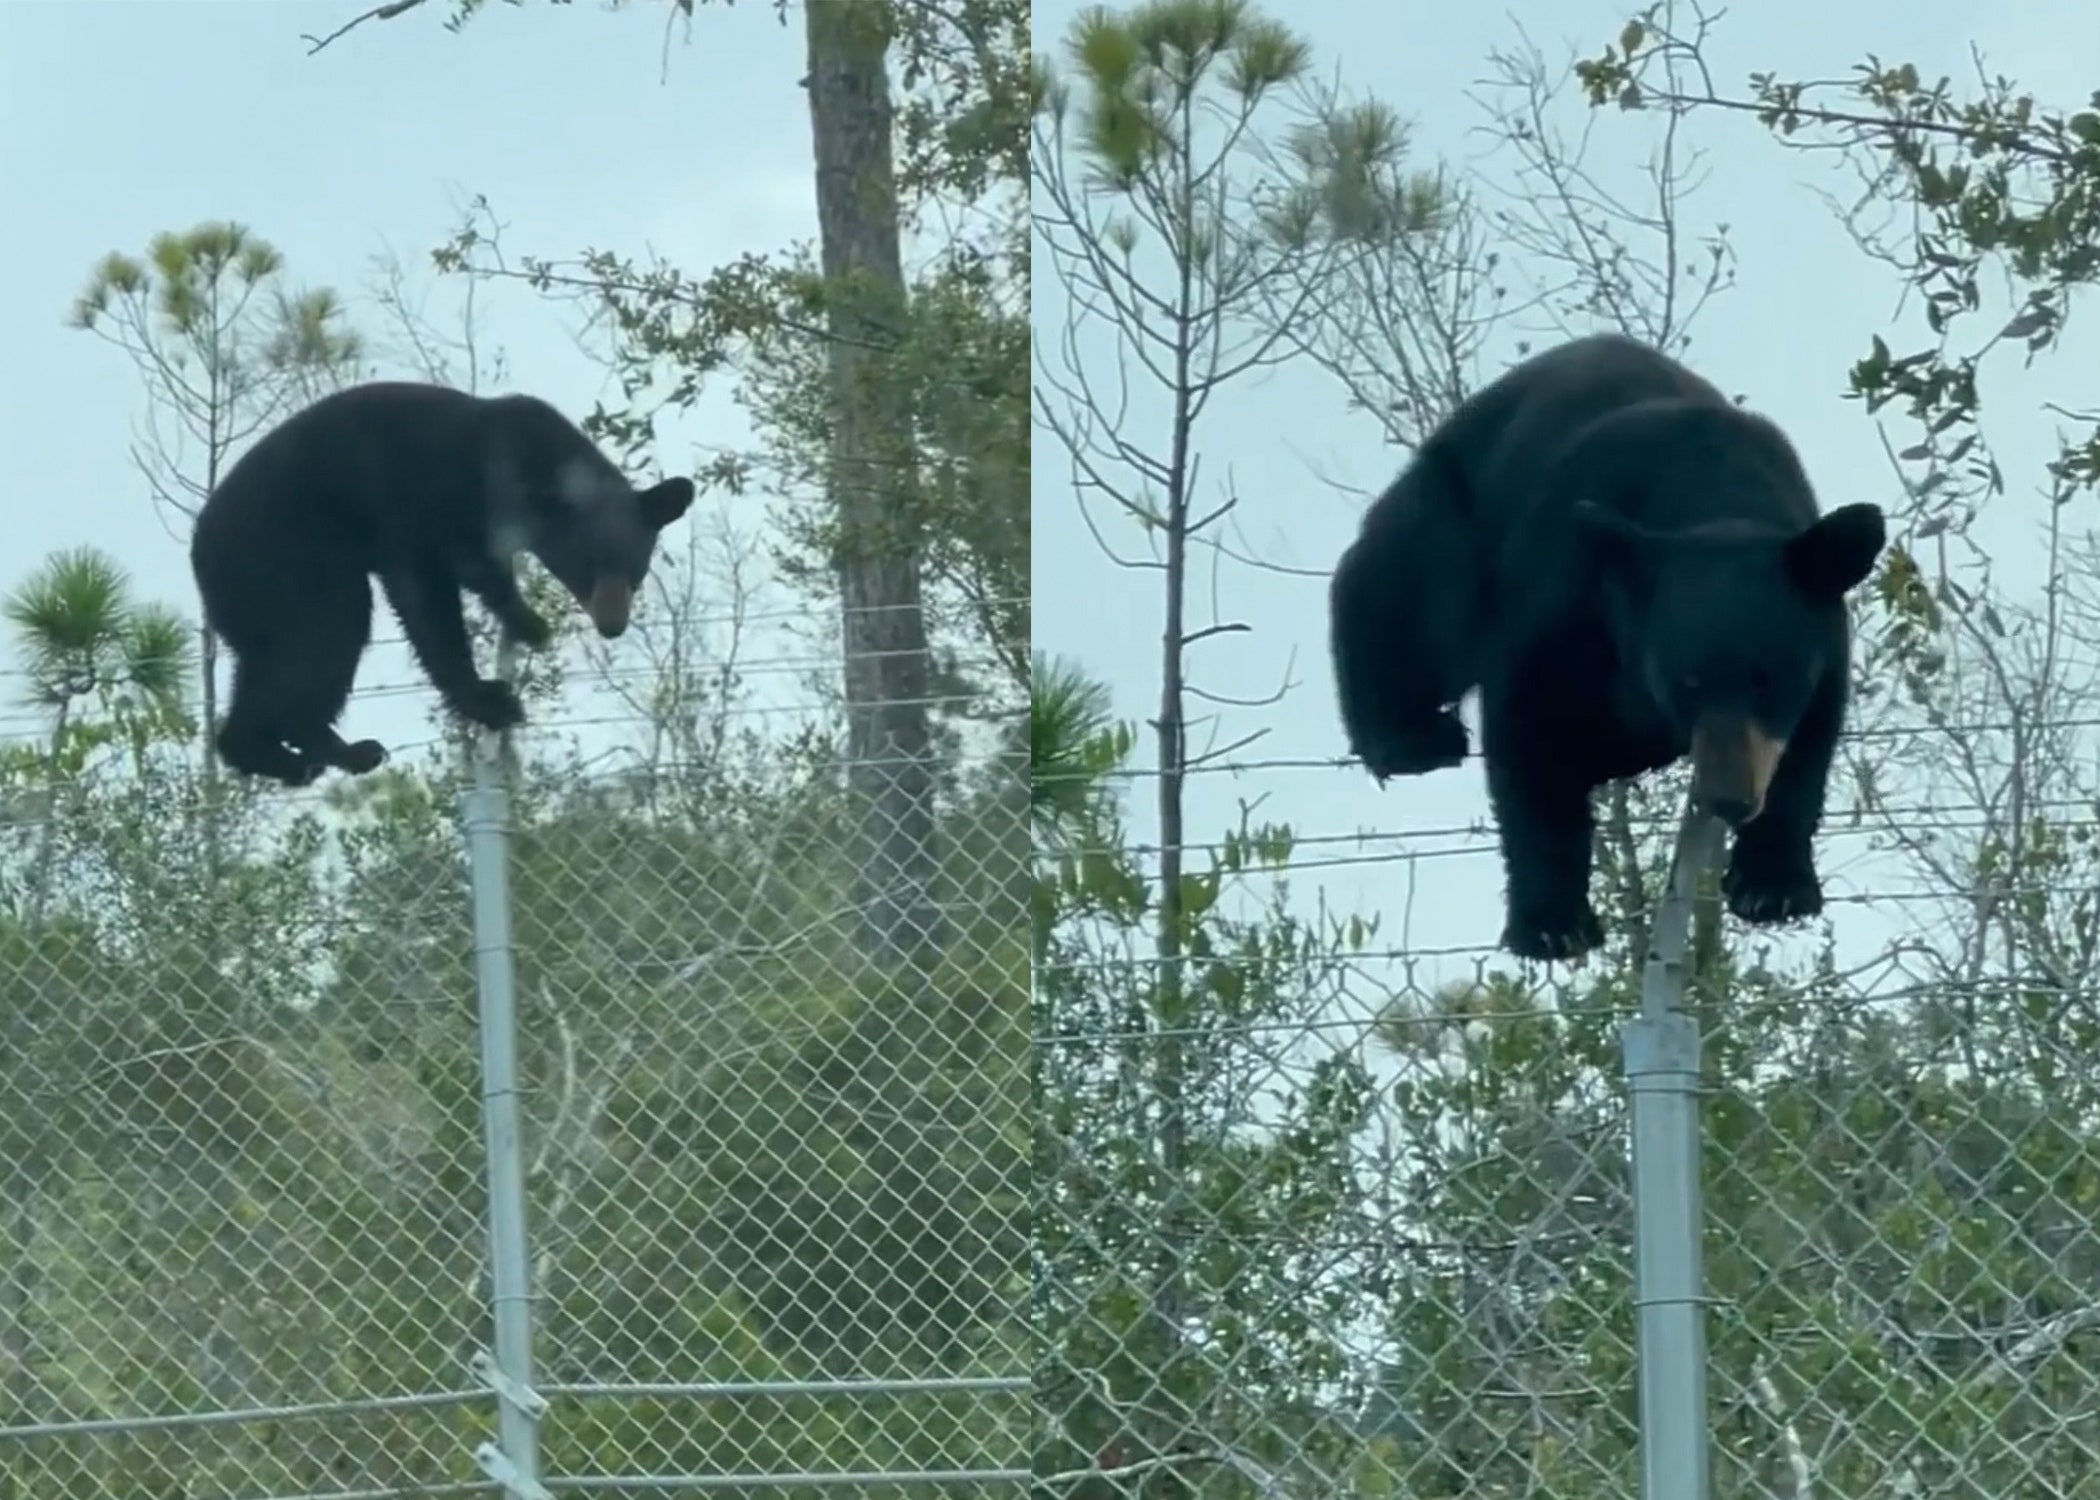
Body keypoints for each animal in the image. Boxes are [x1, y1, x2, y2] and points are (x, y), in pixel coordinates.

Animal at [190, 380, 695, 788]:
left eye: (635, 570)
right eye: (586, 566)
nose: (613, 626)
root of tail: (200, 553)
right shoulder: (425, 502)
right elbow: (431, 598)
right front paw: (494, 689)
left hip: (257, 598)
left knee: (267, 666)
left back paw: (265, 753)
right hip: (288, 560)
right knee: (327, 634)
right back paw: (343, 749)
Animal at [1328, 333, 1887, 962]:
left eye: (1767, 678)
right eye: (1686, 682)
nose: (1729, 799)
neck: (1715, 493)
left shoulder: (1825, 642)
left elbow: (1807, 746)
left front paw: (1774, 887)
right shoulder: (1567, 594)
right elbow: (1532, 733)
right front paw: (1552, 924)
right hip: (1452, 516)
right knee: (1400, 586)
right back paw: (1413, 738)